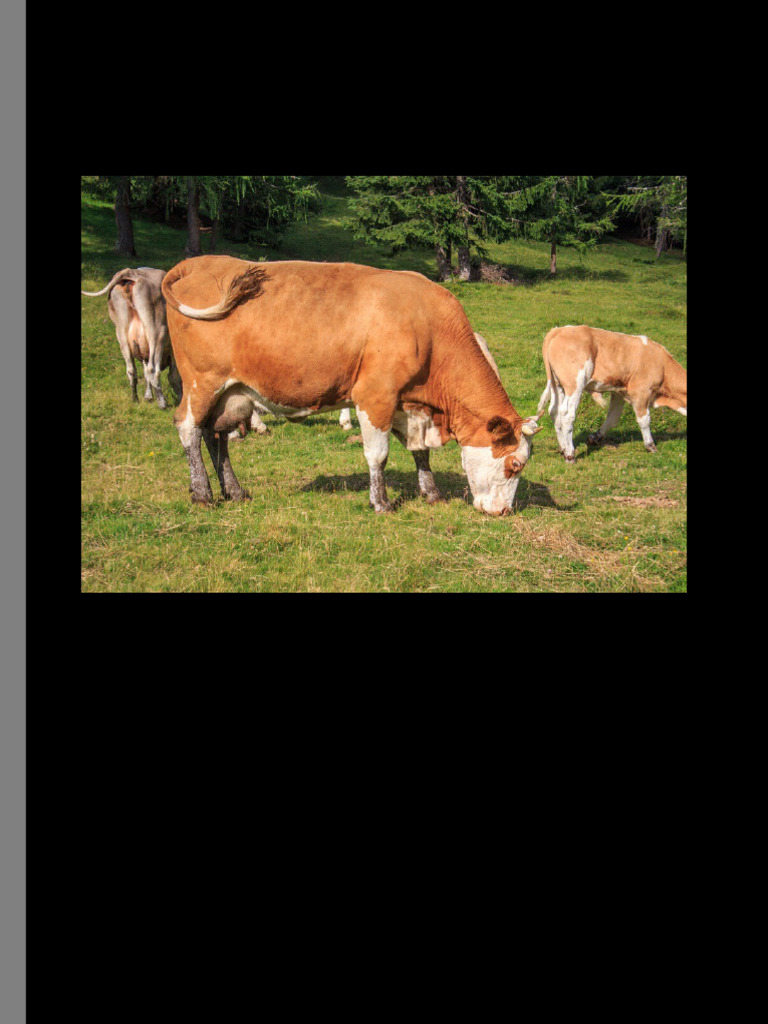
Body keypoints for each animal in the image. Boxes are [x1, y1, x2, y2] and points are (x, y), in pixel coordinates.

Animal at [81, 267, 182, 408]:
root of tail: (132, 272)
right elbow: (174, 377)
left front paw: (148, 397)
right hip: (156, 330)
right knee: (153, 369)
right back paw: (162, 403)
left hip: (121, 331)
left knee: (131, 370)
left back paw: (135, 399)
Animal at [161, 256, 542, 515]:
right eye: (515, 465)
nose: (504, 512)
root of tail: (200, 262)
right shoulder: (375, 396)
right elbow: (378, 455)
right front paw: (381, 501)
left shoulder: (407, 403)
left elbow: (419, 452)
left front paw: (430, 493)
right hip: (202, 382)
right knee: (188, 428)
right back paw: (202, 494)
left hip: (232, 393)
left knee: (215, 435)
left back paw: (235, 492)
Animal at [537, 325, 687, 461]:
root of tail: (560, 329)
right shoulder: (641, 392)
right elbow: (644, 420)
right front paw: (650, 446)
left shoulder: (619, 392)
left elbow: (613, 419)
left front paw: (595, 438)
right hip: (575, 383)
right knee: (567, 414)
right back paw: (570, 454)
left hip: (557, 385)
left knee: (554, 411)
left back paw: (563, 448)